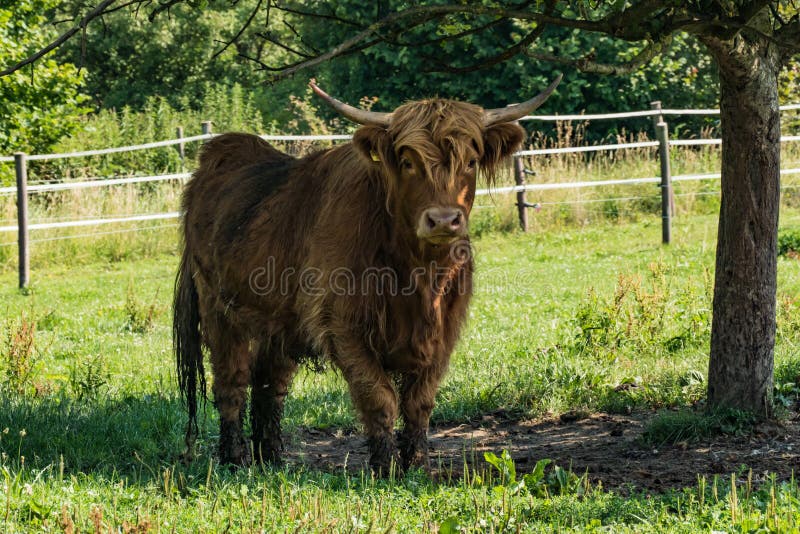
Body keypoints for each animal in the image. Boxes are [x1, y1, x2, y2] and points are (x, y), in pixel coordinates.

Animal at [173, 76, 561, 473]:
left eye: (470, 161)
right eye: (407, 162)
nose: (443, 220)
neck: (418, 274)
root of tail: (218, 155)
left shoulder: (445, 329)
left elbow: (420, 401)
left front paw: (417, 463)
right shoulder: (343, 324)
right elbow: (379, 397)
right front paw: (386, 466)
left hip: (279, 321)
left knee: (270, 383)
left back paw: (273, 458)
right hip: (218, 309)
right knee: (231, 383)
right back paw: (234, 459)